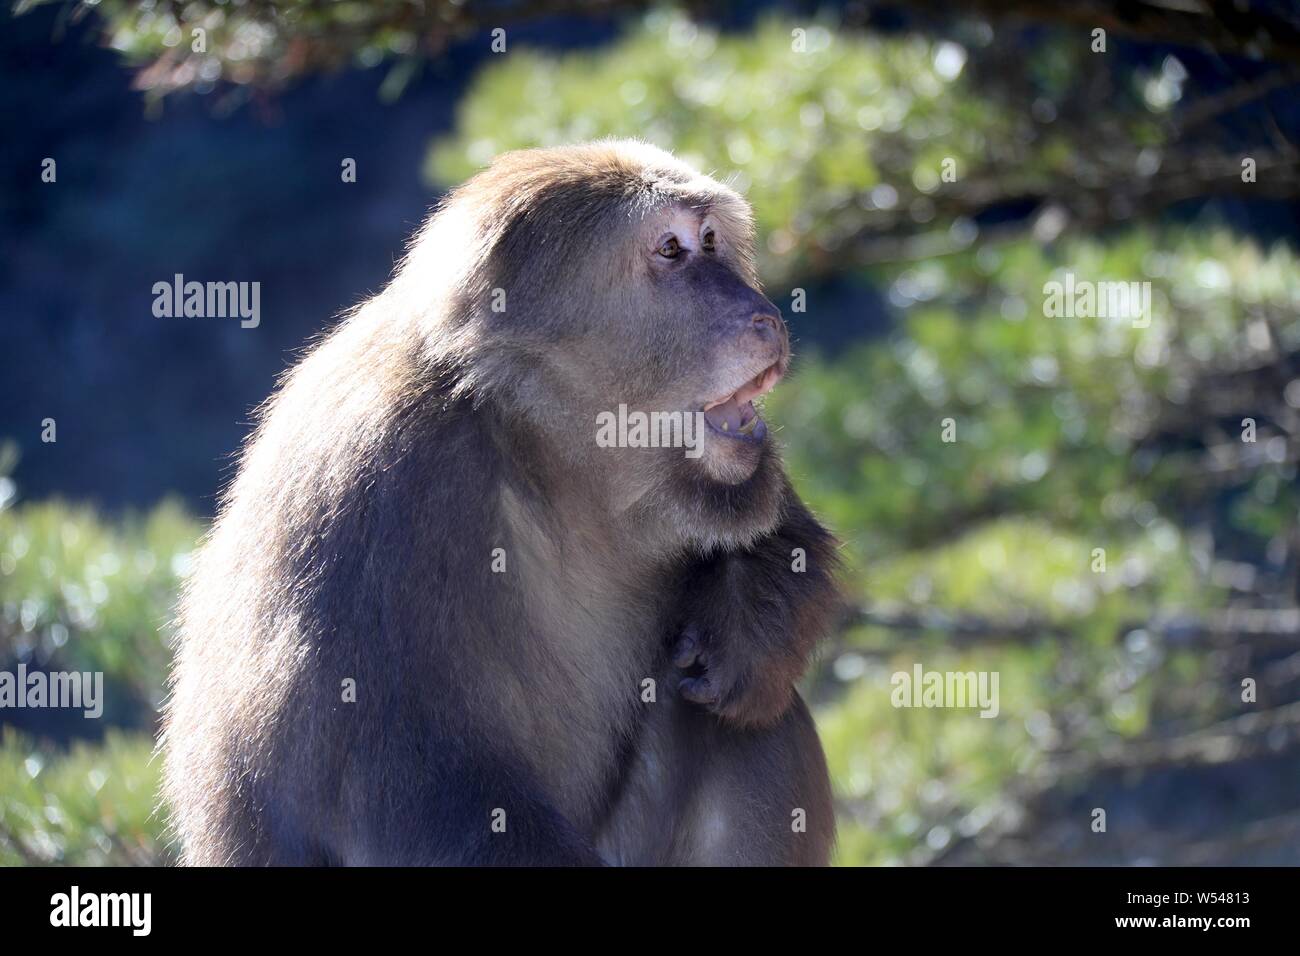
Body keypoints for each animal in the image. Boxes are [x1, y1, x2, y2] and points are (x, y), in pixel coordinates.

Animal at [161, 140, 842, 866]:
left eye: (711, 240)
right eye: (671, 250)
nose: (764, 316)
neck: (542, 456)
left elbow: (785, 548)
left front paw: (746, 630)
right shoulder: (375, 487)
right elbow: (419, 796)